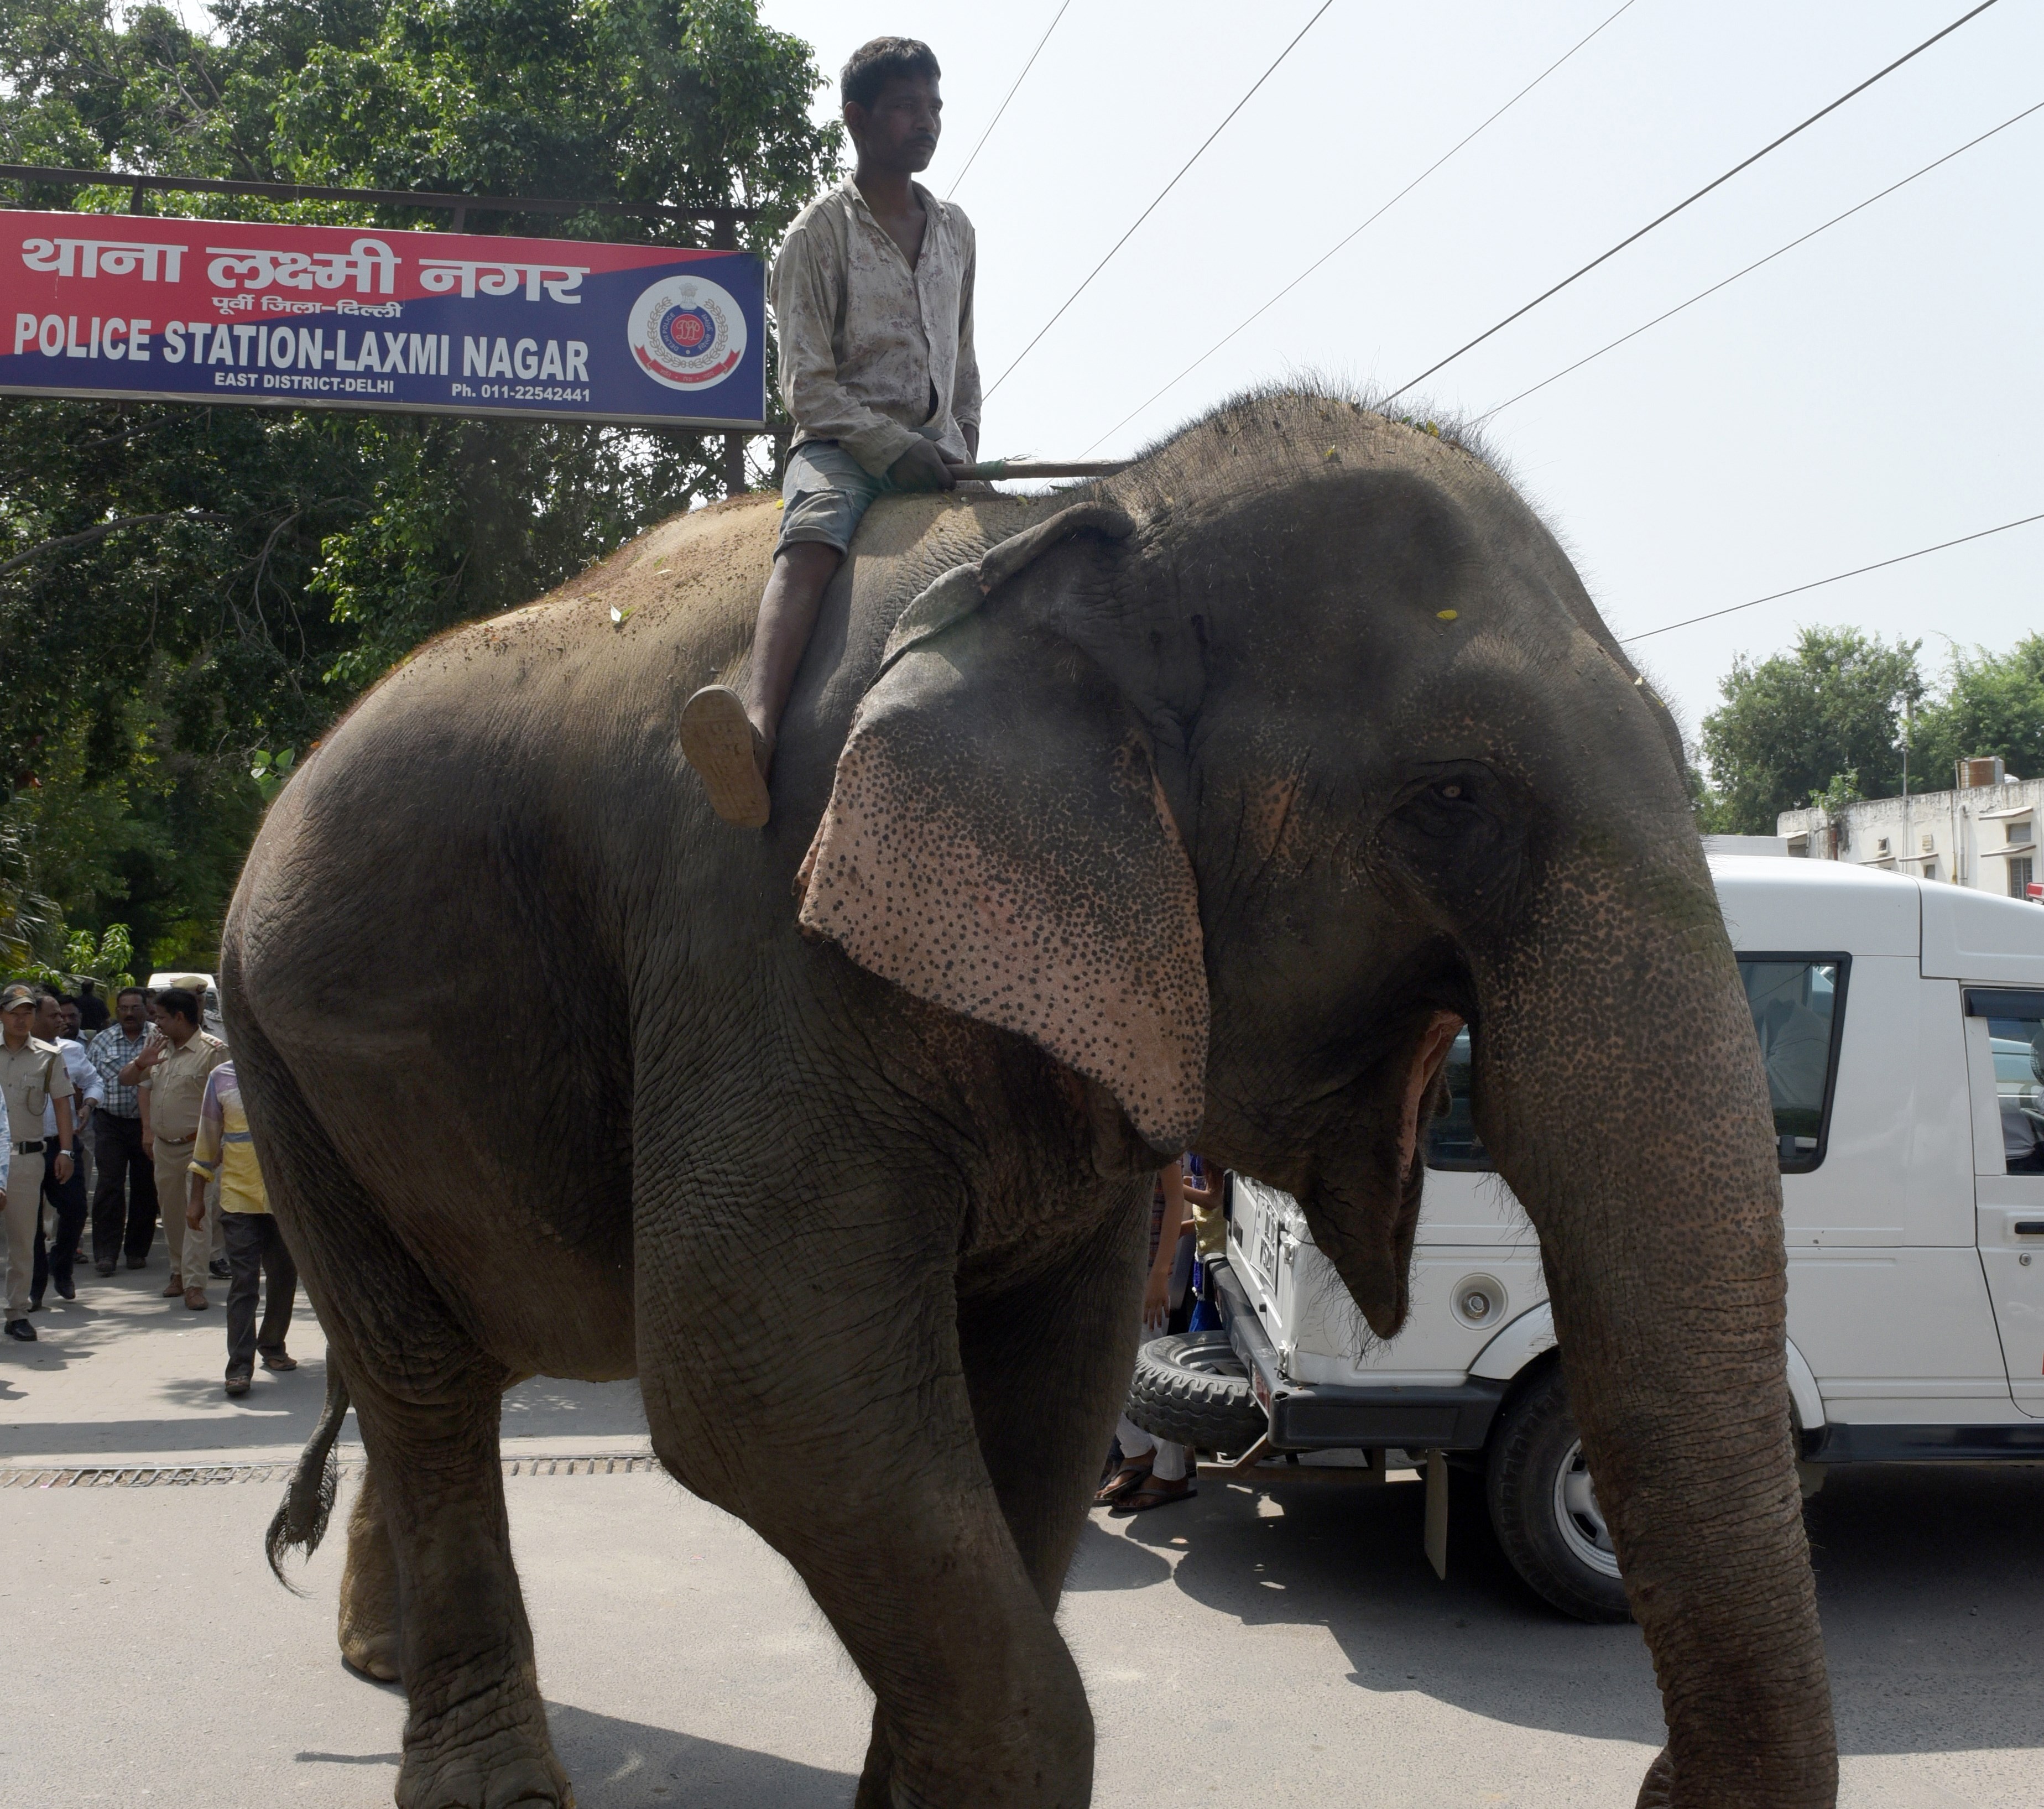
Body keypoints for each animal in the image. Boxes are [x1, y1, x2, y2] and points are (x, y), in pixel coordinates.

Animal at [226, 385, 1836, 1809]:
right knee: (425, 1381)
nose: (1651, 1783)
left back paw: (383, 1657)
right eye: (1453, 795)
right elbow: (763, 1377)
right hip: (273, 1052)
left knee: (441, 1369)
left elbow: (1059, 1378)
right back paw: (483, 1776)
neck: (1073, 534)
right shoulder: (760, 944)